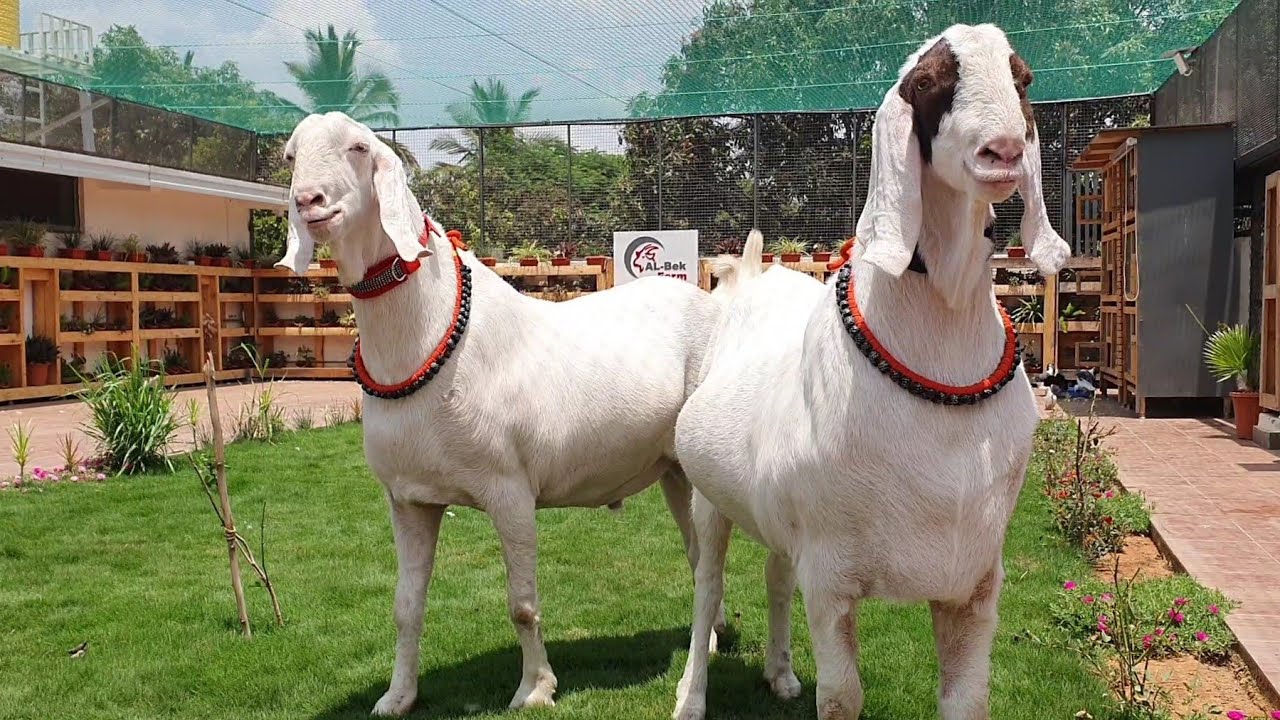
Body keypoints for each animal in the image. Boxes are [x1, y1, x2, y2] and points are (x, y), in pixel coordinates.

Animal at [276, 112, 723, 717]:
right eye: (291, 154)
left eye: (358, 147)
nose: (309, 201)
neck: (429, 338)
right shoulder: (408, 498)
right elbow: (405, 606)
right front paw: (397, 696)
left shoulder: (509, 488)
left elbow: (522, 603)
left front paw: (535, 688)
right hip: (674, 469)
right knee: (699, 557)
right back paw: (715, 640)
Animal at [670, 24, 1071, 720]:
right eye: (929, 83)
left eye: (1022, 78)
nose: (1004, 150)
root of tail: (753, 275)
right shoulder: (831, 576)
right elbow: (841, 696)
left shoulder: (975, 581)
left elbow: (967, 700)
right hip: (708, 497)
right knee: (707, 588)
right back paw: (691, 697)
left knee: (776, 572)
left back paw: (781, 674)